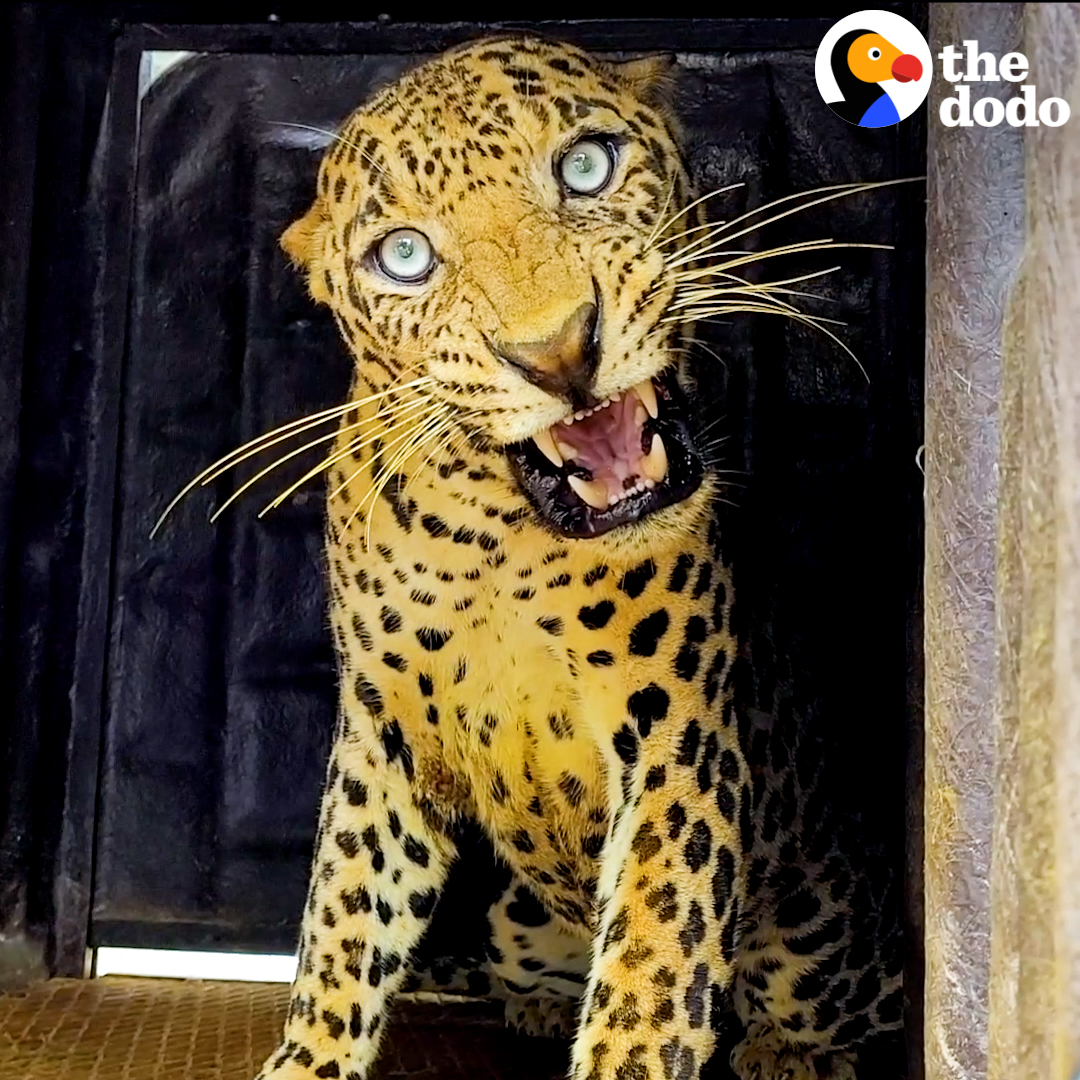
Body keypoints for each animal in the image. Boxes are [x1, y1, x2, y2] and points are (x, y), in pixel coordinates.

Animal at [237, 35, 904, 1080]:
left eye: (585, 167)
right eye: (405, 257)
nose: (556, 354)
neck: (494, 538)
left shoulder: (677, 737)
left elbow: (654, 953)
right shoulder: (382, 732)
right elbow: (344, 911)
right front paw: (308, 1057)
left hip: (817, 925)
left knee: (835, 1003)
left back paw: (787, 1053)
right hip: (516, 915)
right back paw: (542, 1008)